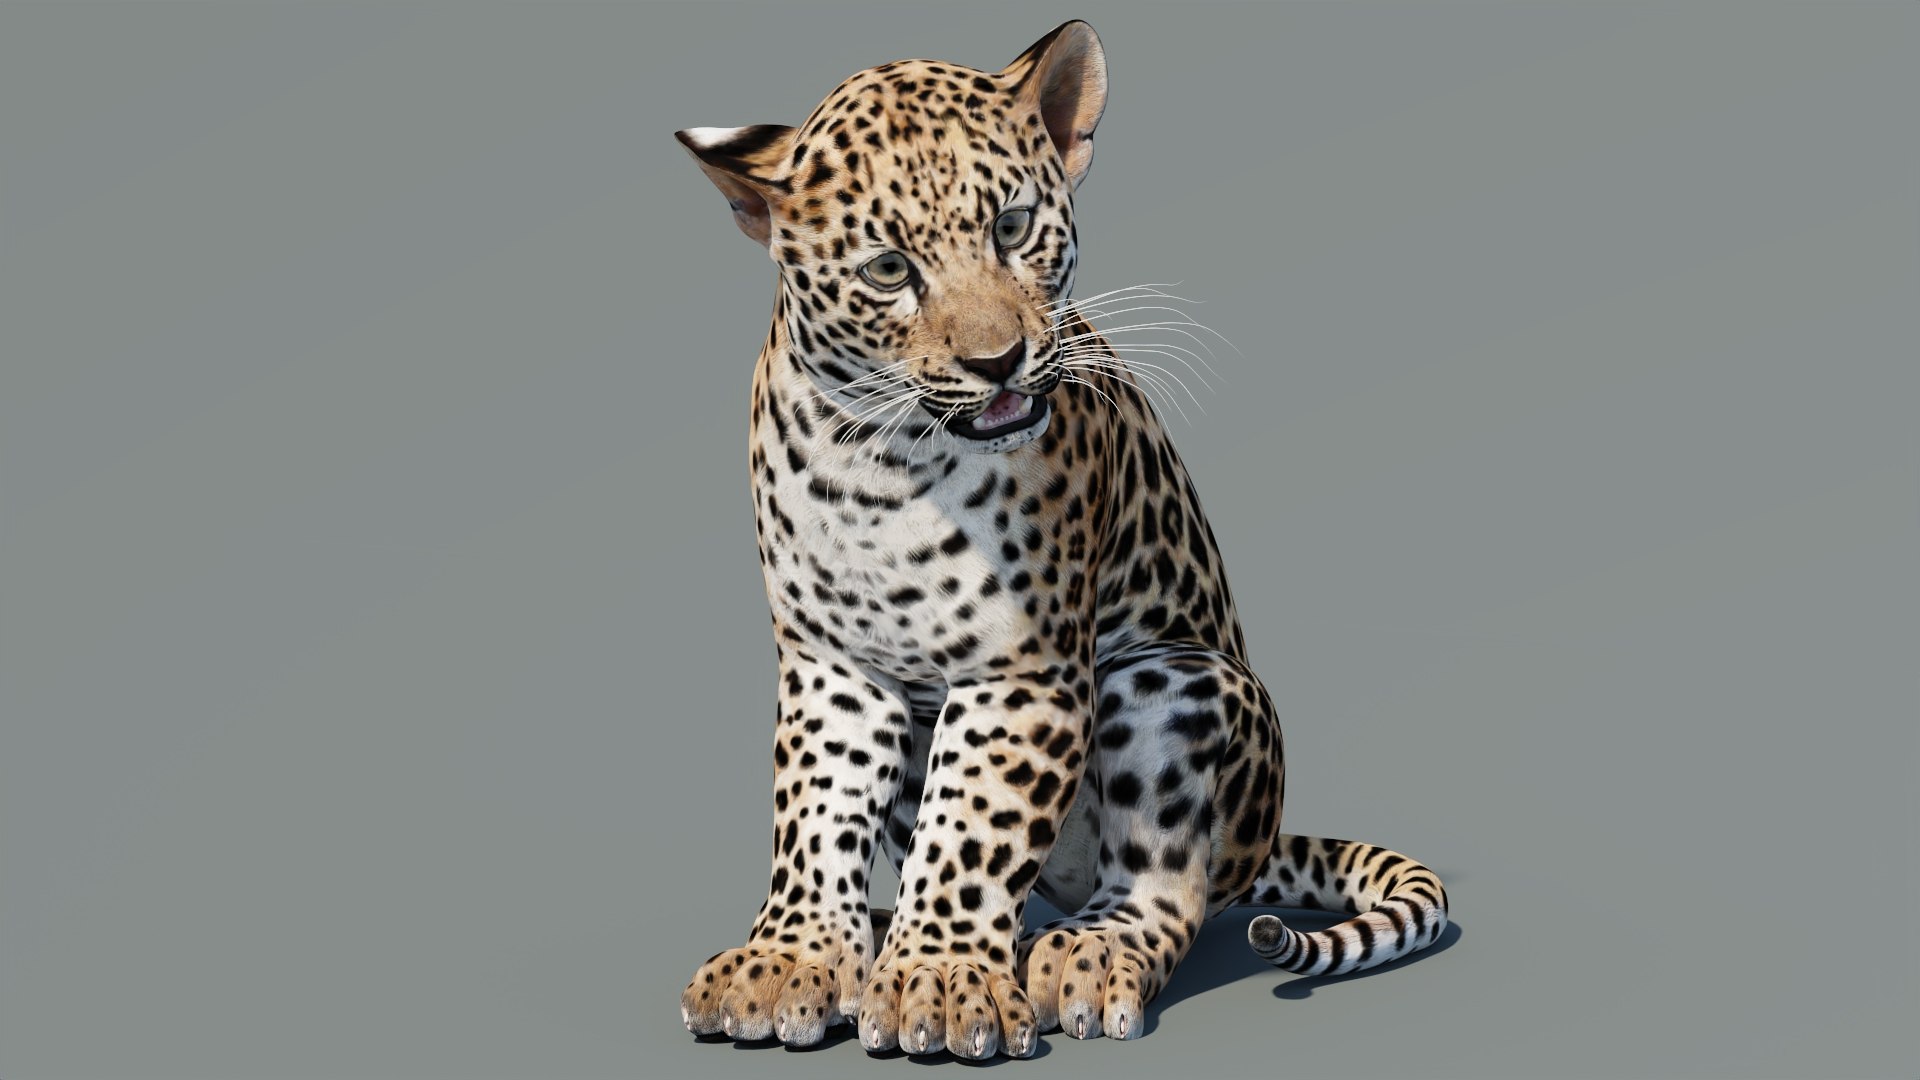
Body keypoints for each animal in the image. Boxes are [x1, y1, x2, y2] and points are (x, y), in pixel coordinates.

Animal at [671, 20, 1449, 1060]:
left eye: (1011, 226)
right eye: (888, 269)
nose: (998, 361)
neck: (885, 463)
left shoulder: (1023, 667)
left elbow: (972, 828)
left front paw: (937, 981)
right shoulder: (834, 663)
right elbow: (816, 812)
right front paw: (791, 957)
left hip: (1177, 682)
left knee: (1166, 886)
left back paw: (1080, 950)